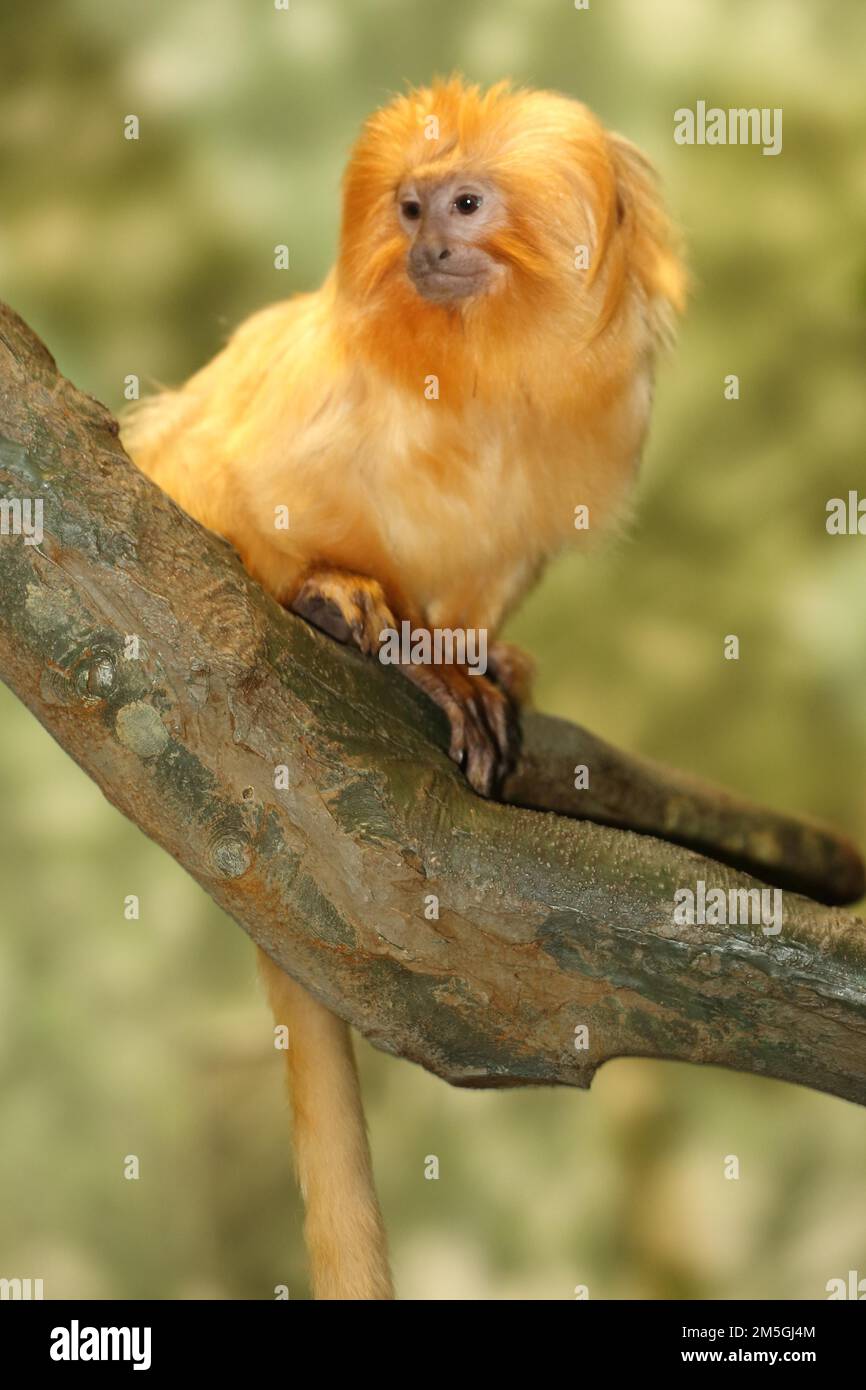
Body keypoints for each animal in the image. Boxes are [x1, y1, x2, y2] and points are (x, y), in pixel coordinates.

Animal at [121, 77, 685, 1300]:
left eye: (465, 206)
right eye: (410, 206)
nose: (426, 245)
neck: (475, 368)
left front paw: (476, 659)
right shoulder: (285, 421)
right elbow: (209, 492)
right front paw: (374, 624)